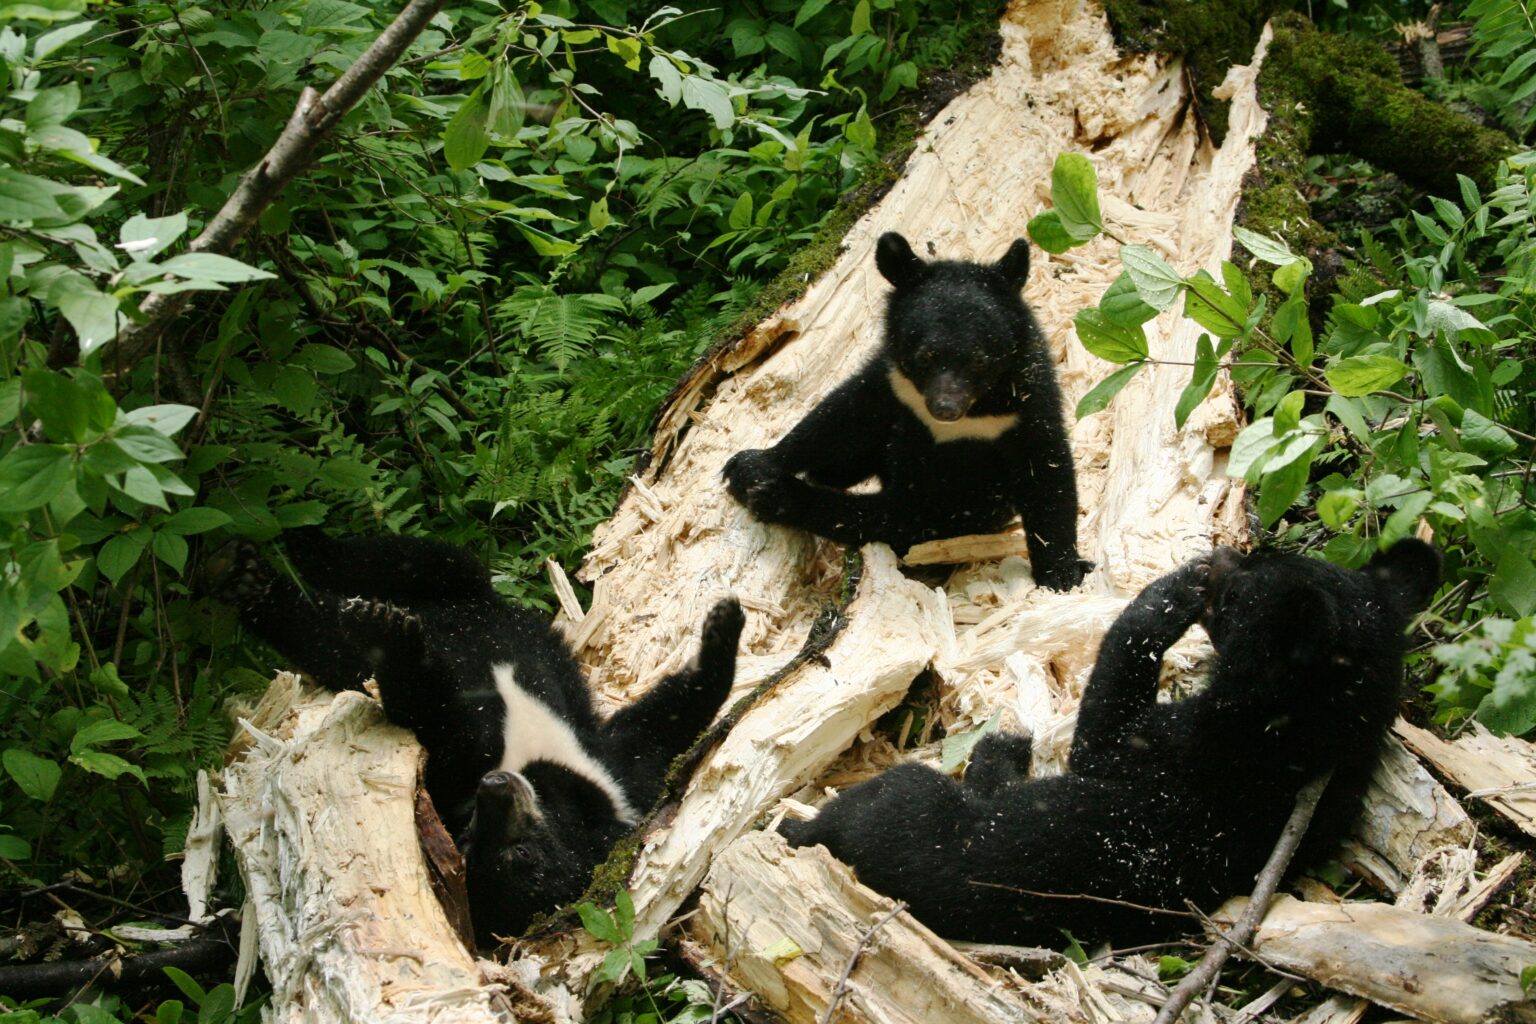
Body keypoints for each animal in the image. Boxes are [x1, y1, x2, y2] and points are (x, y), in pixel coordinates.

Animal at [214, 527, 744, 943]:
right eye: (470, 836)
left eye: (518, 853)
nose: (495, 787)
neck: (545, 782)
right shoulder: (598, 776)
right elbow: (651, 731)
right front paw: (725, 626)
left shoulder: (592, 783)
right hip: (459, 586)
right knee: (405, 558)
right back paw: (280, 557)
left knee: (327, 629)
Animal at [724, 231, 1088, 590]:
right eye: (925, 356)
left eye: (979, 360)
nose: (945, 408)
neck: (975, 411)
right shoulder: (892, 382)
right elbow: (837, 419)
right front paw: (749, 464)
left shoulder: (1026, 404)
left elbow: (1047, 474)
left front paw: (1061, 574)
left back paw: (775, 495)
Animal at [781, 539, 1440, 947]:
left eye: (1241, 587)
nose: (1223, 554)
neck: (1297, 735)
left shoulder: (1178, 748)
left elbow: (1108, 714)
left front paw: (1169, 591)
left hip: (907, 803)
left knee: (879, 803)